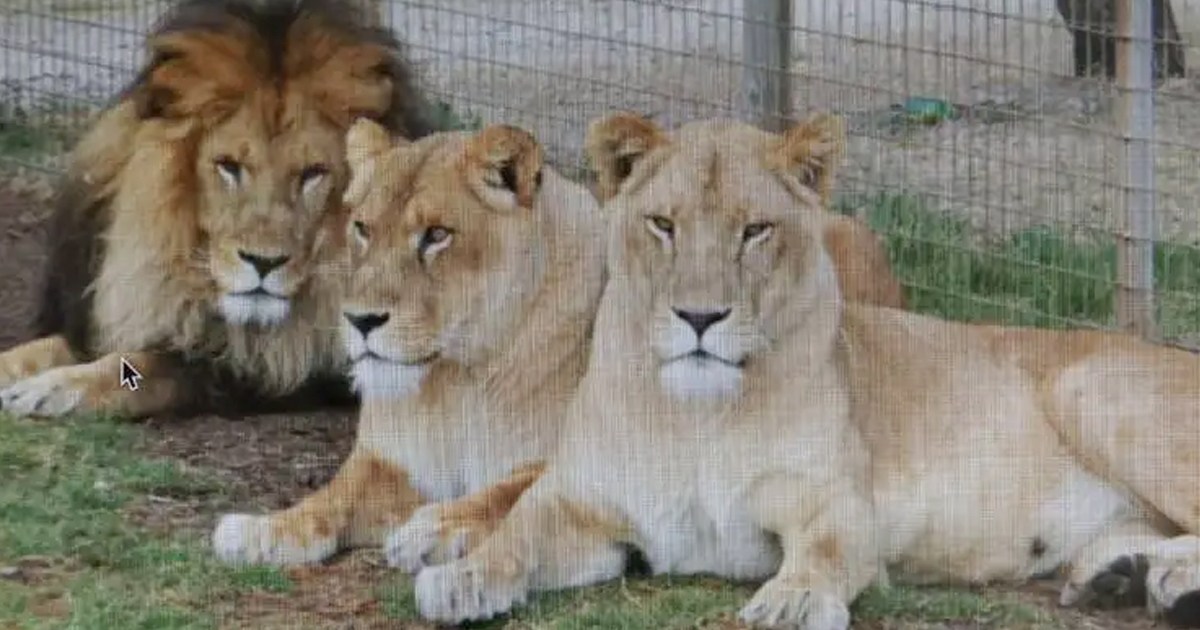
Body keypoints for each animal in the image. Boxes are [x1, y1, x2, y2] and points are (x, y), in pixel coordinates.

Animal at [0, 0, 436, 419]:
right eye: (228, 165)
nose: (264, 263)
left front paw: (52, 389)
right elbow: (46, 348)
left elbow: (147, 368)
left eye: (313, 173)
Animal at [209, 118, 609, 567]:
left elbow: (508, 491)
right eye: (363, 229)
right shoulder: (389, 458)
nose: (360, 321)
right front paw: (262, 530)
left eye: (436, 235)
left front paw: (434, 527)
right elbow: (335, 495)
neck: (455, 380)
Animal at [409, 114, 1200, 630]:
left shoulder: (839, 503)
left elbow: (822, 551)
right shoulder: (585, 504)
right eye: (663, 225)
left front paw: (791, 601)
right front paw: (460, 579)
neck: (694, 414)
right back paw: (1121, 577)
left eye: (755, 231)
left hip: (1092, 390)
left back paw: (1165, 581)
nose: (700, 317)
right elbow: (520, 530)